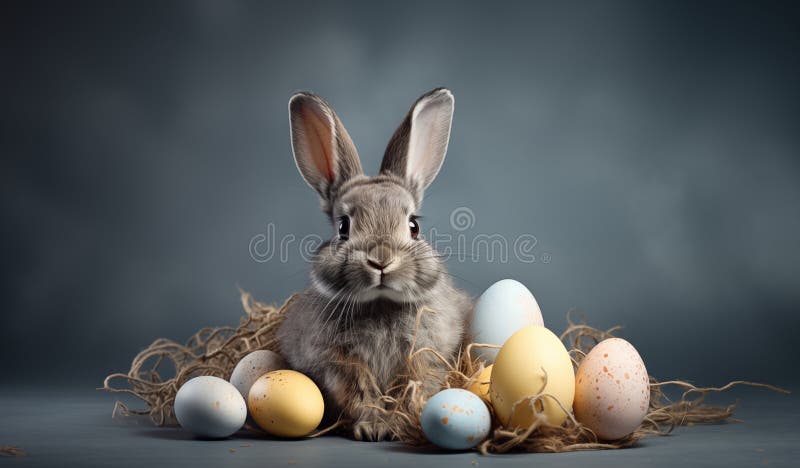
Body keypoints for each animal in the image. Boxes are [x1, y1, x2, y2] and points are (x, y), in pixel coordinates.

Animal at [276, 88, 473, 441]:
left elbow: (410, 386)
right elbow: (360, 390)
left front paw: (395, 427)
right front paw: (372, 428)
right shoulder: (337, 362)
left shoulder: (425, 353)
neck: (380, 303)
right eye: (343, 227)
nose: (381, 261)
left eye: (413, 226)